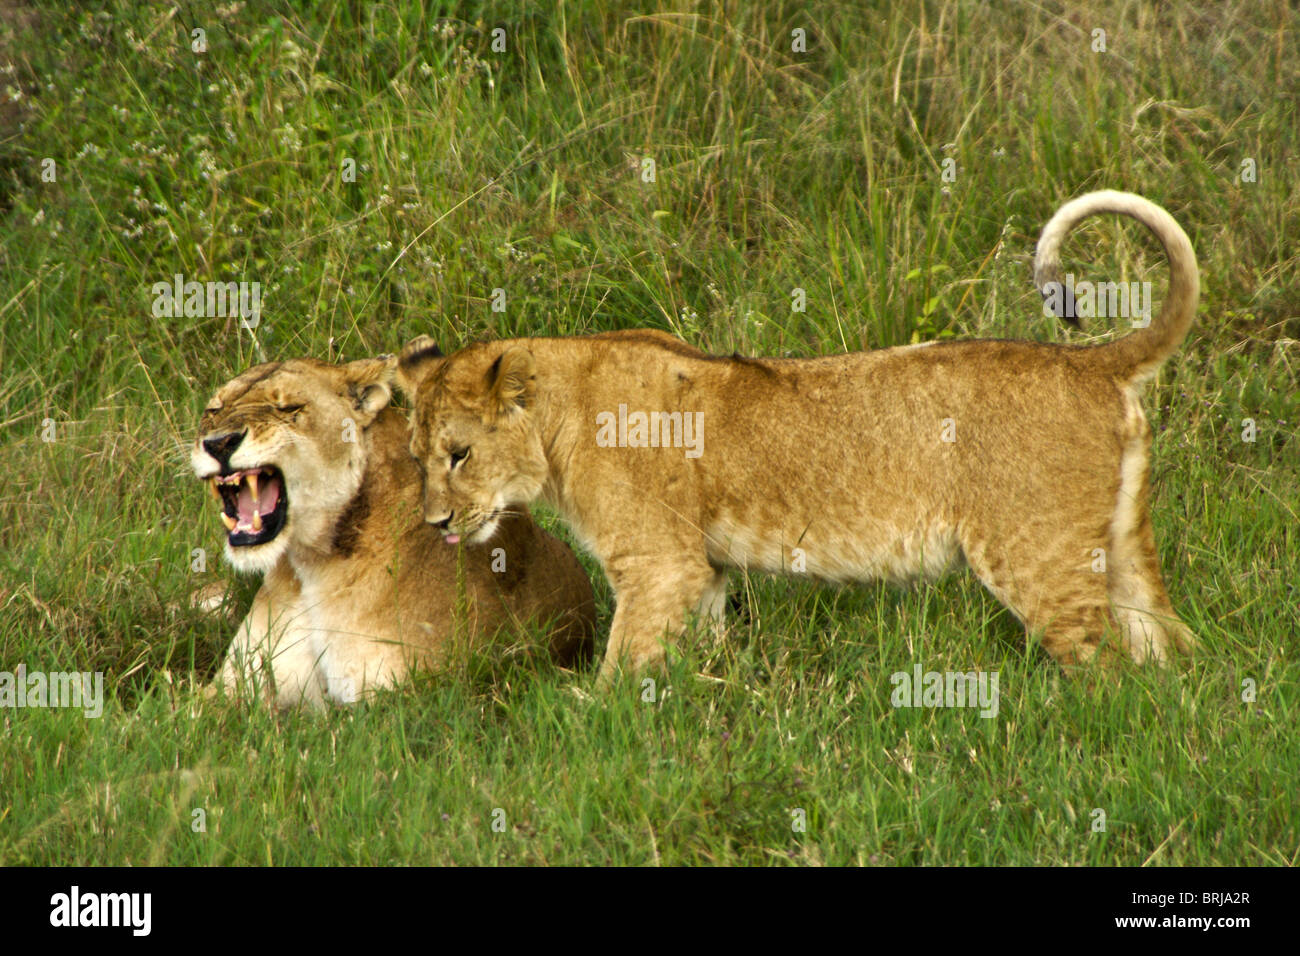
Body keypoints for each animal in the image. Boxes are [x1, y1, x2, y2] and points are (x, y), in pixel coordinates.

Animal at [191, 357, 596, 709]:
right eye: (214, 410)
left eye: (289, 407)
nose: (219, 443)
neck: (310, 562)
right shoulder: (227, 691)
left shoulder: (401, 702)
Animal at [394, 191, 1198, 685]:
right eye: (418, 459)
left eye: (460, 455)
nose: (435, 522)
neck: (560, 417)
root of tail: (1090, 360)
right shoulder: (703, 572)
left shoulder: (658, 565)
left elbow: (621, 675)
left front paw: (596, 730)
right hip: (1121, 545)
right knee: (1173, 652)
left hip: (1037, 556)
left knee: (1110, 675)